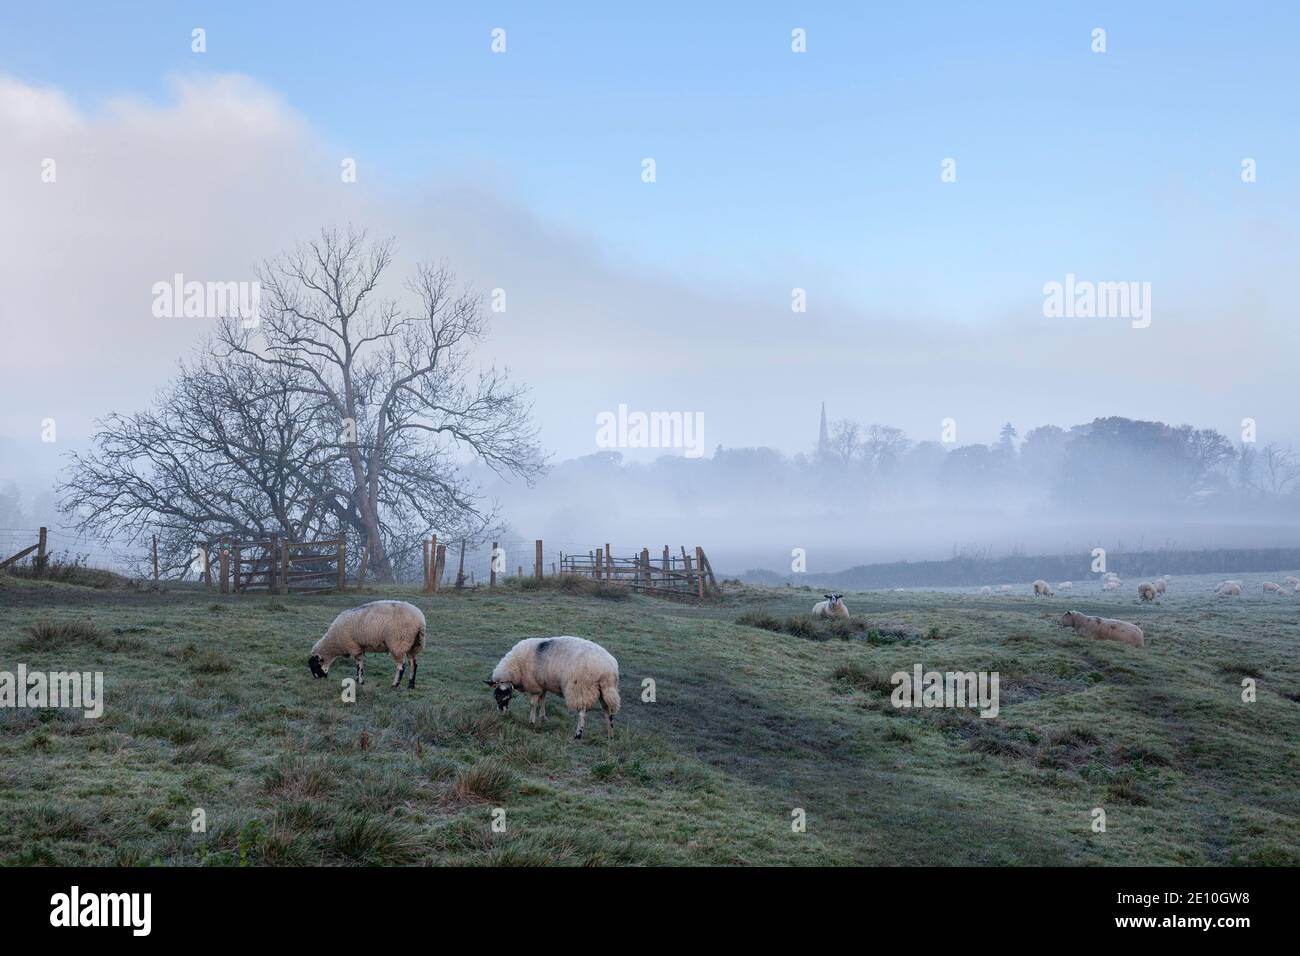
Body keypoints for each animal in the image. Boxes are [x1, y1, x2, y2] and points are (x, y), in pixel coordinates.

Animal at [486, 636, 620, 740]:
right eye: (495, 696)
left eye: (505, 694)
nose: (501, 712)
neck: (516, 667)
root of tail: (609, 669)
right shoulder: (542, 684)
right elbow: (543, 700)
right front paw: (543, 718)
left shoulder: (534, 686)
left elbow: (533, 703)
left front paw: (531, 721)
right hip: (604, 691)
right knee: (608, 713)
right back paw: (610, 736)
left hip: (581, 688)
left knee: (582, 712)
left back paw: (578, 734)